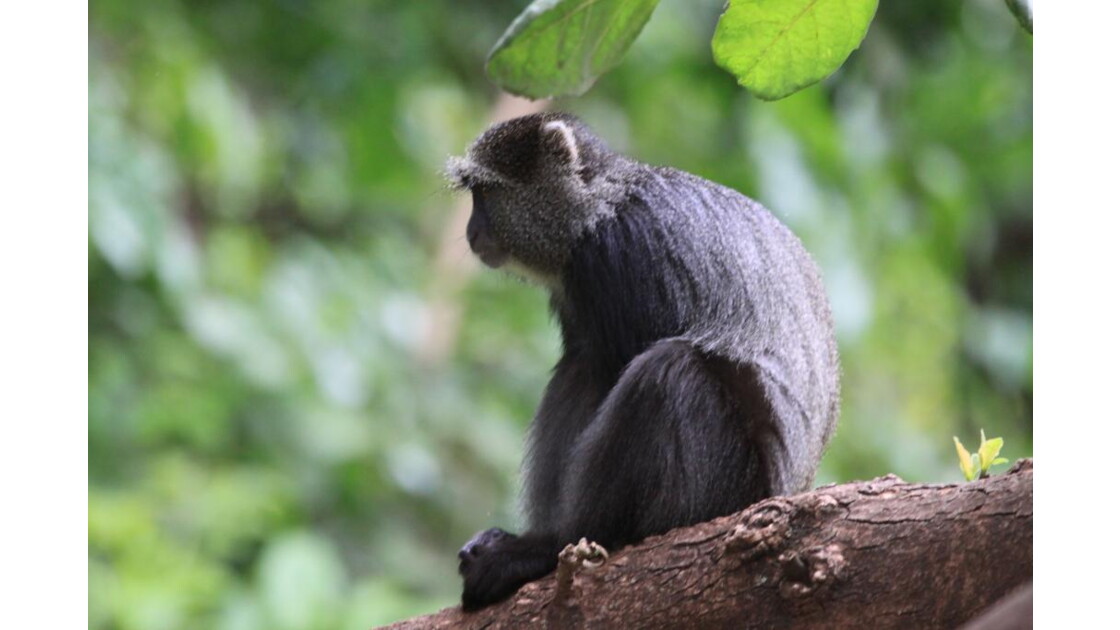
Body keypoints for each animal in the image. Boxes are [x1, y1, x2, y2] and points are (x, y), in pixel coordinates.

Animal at [445, 112, 840, 611]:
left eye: (486, 192)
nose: (471, 232)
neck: (597, 205)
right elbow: (589, 373)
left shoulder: (617, 254)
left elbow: (625, 368)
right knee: (579, 370)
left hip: (732, 480)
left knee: (667, 371)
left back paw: (552, 548)